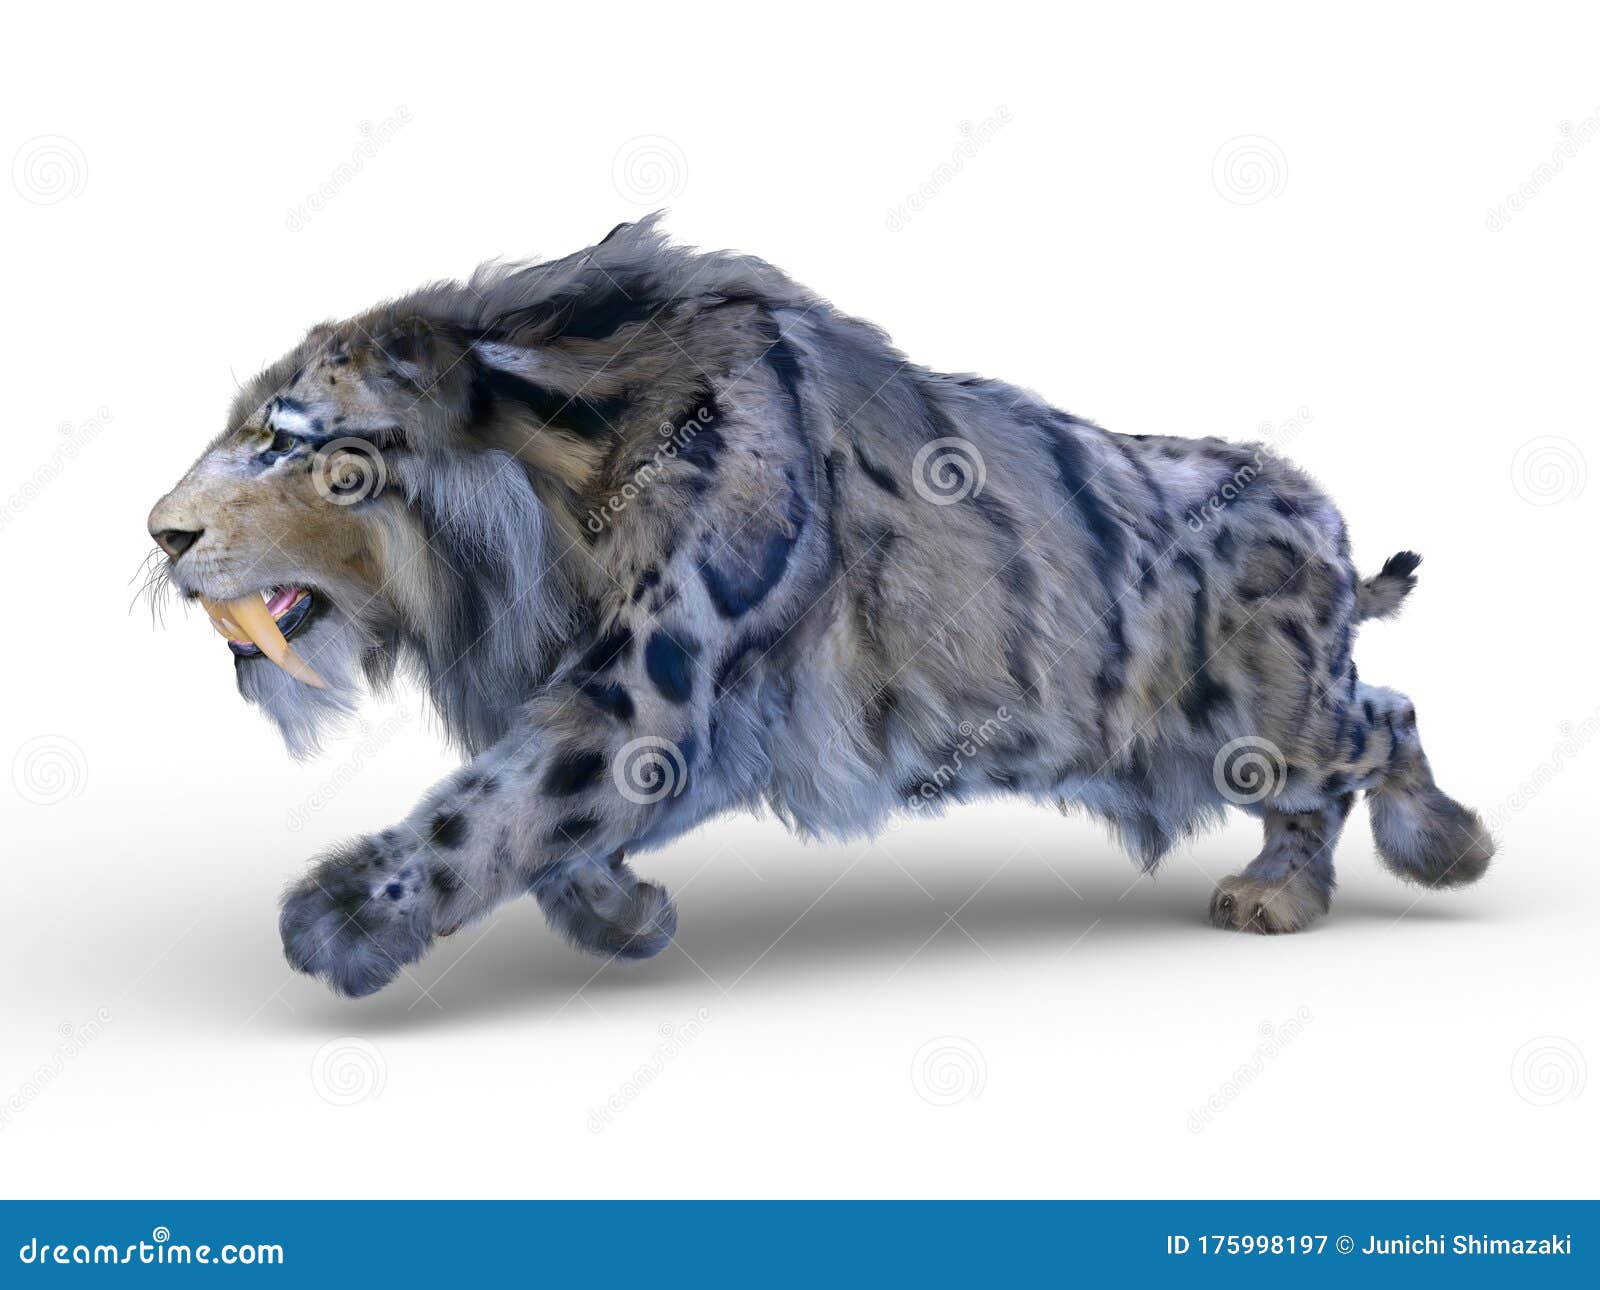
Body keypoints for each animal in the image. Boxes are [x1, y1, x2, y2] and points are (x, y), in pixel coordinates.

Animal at [146, 217, 1494, 997]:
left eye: (286, 444)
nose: (160, 535)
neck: (539, 514)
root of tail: (1323, 517)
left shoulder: (646, 688)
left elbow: (489, 807)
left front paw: (338, 919)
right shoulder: (649, 712)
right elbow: (541, 821)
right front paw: (620, 916)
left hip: (1266, 721)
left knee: (1387, 717)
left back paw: (1431, 849)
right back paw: (1297, 889)